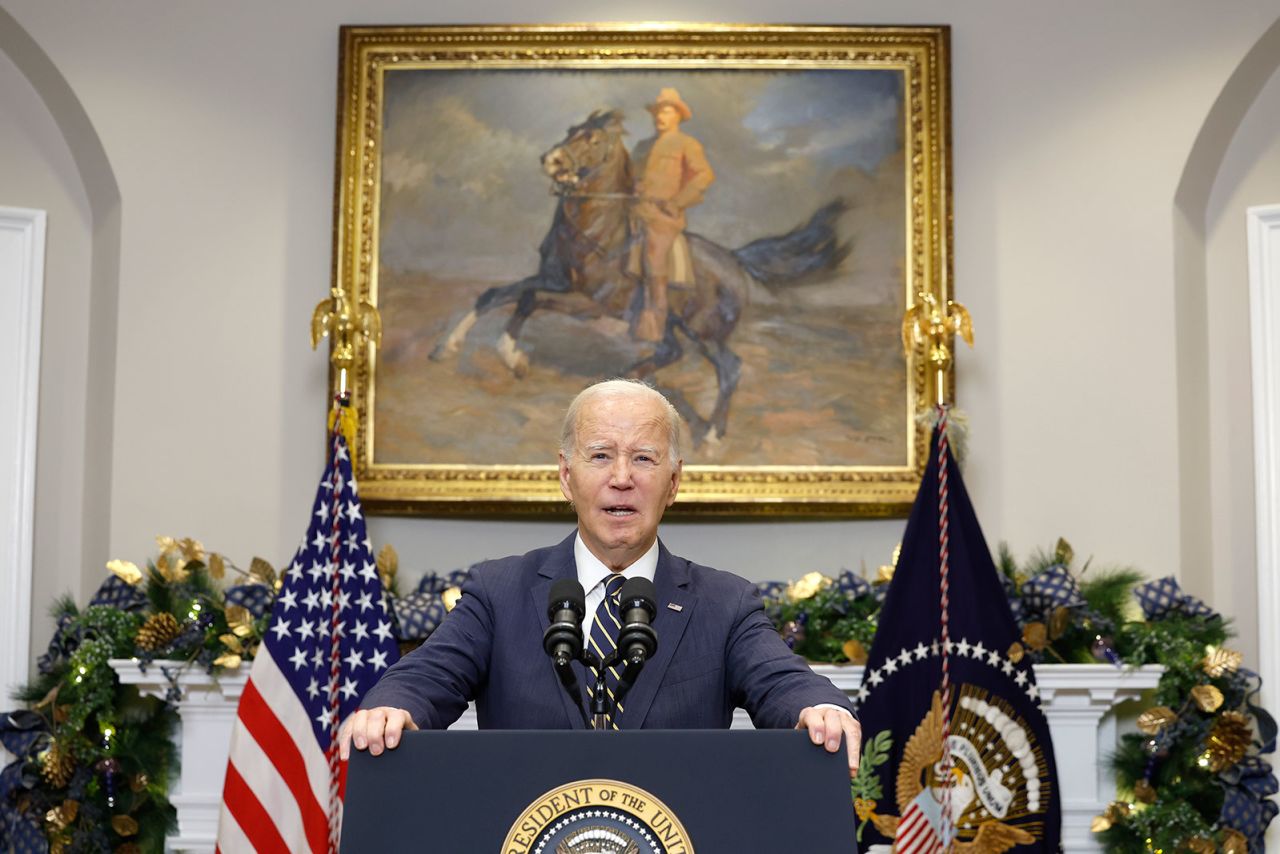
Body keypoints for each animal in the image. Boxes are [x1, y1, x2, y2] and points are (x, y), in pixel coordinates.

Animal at [432, 110, 849, 448]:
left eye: (593, 139)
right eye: (571, 130)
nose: (551, 160)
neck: (599, 232)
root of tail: (733, 258)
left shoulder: (587, 303)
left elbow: (524, 298)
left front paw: (501, 353)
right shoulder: (553, 279)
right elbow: (504, 295)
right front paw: (466, 350)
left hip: (706, 333)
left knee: (729, 368)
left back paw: (712, 433)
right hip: (668, 321)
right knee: (671, 351)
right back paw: (632, 381)